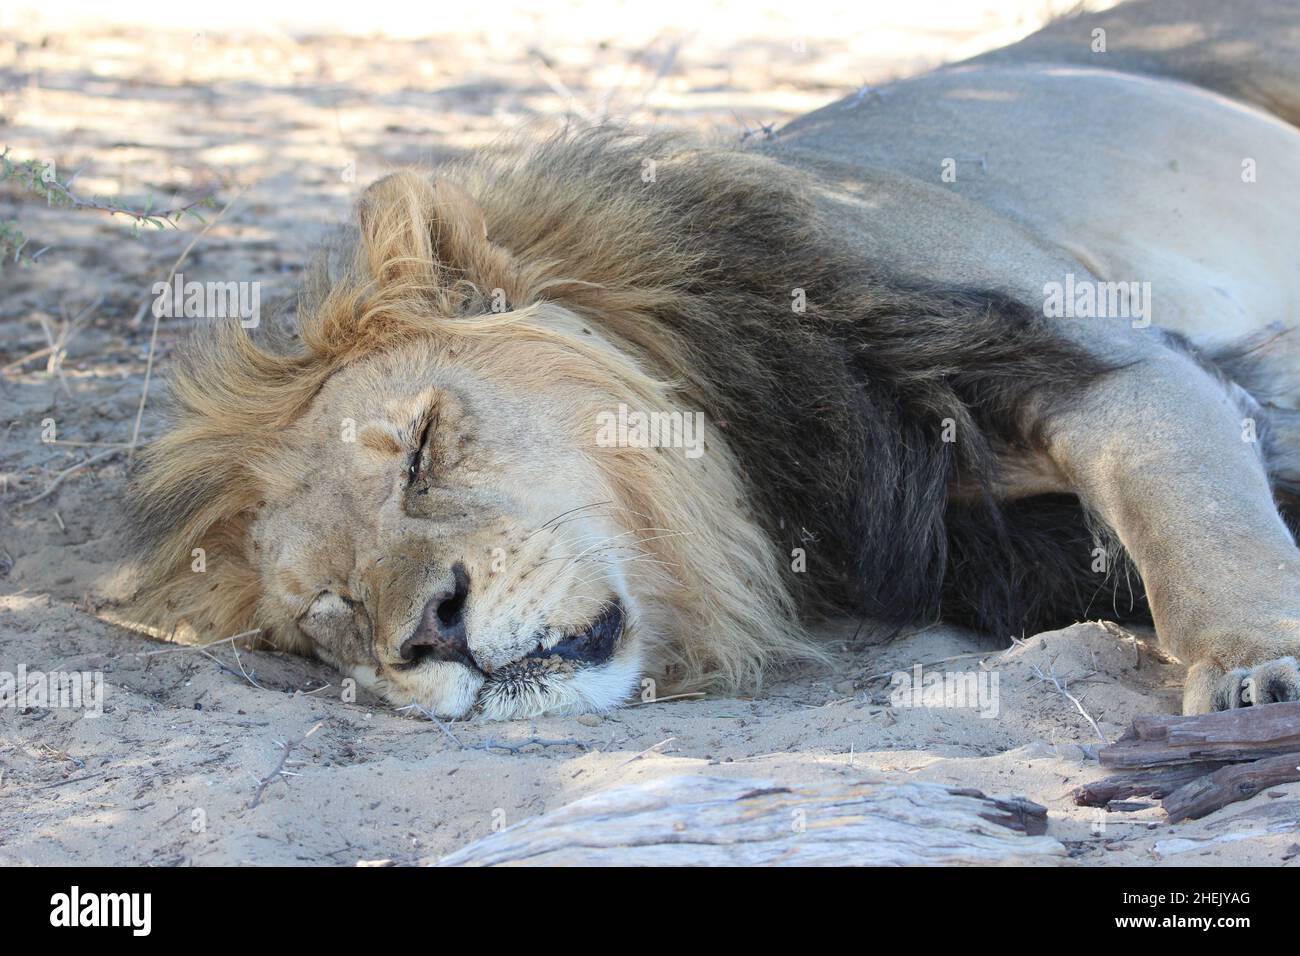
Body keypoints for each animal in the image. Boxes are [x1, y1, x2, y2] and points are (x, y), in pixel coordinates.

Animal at [128, 0, 1300, 719]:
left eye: (421, 446)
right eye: (328, 609)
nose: (428, 632)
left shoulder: (1108, 363)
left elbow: (1198, 527)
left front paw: (1256, 661)